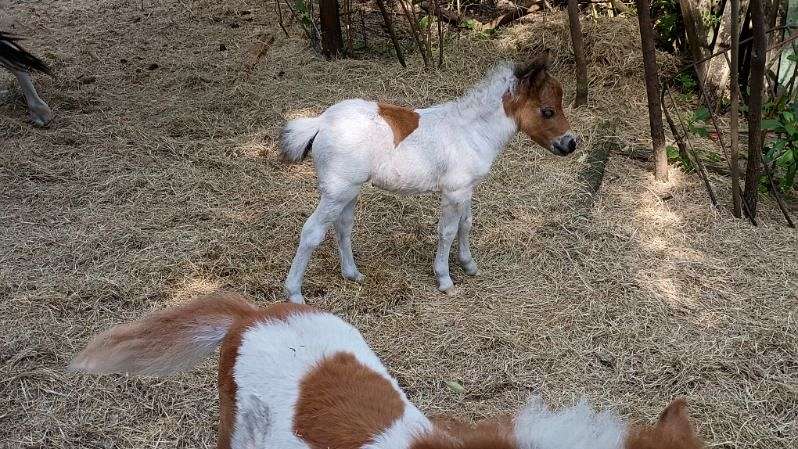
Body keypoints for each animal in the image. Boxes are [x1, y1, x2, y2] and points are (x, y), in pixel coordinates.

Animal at [280, 54, 576, 303]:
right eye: (547, 111)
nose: (571, 144)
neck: (471, 132)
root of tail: (320, 122)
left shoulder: (466, 188)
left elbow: (466, 224)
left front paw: (469, 265)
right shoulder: (454, 192)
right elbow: (447, 231)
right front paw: (444, 279)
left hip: (349, 191)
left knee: (343, 227)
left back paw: (352, 274)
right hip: (337, 191)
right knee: (311, 232)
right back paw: (294, 293)